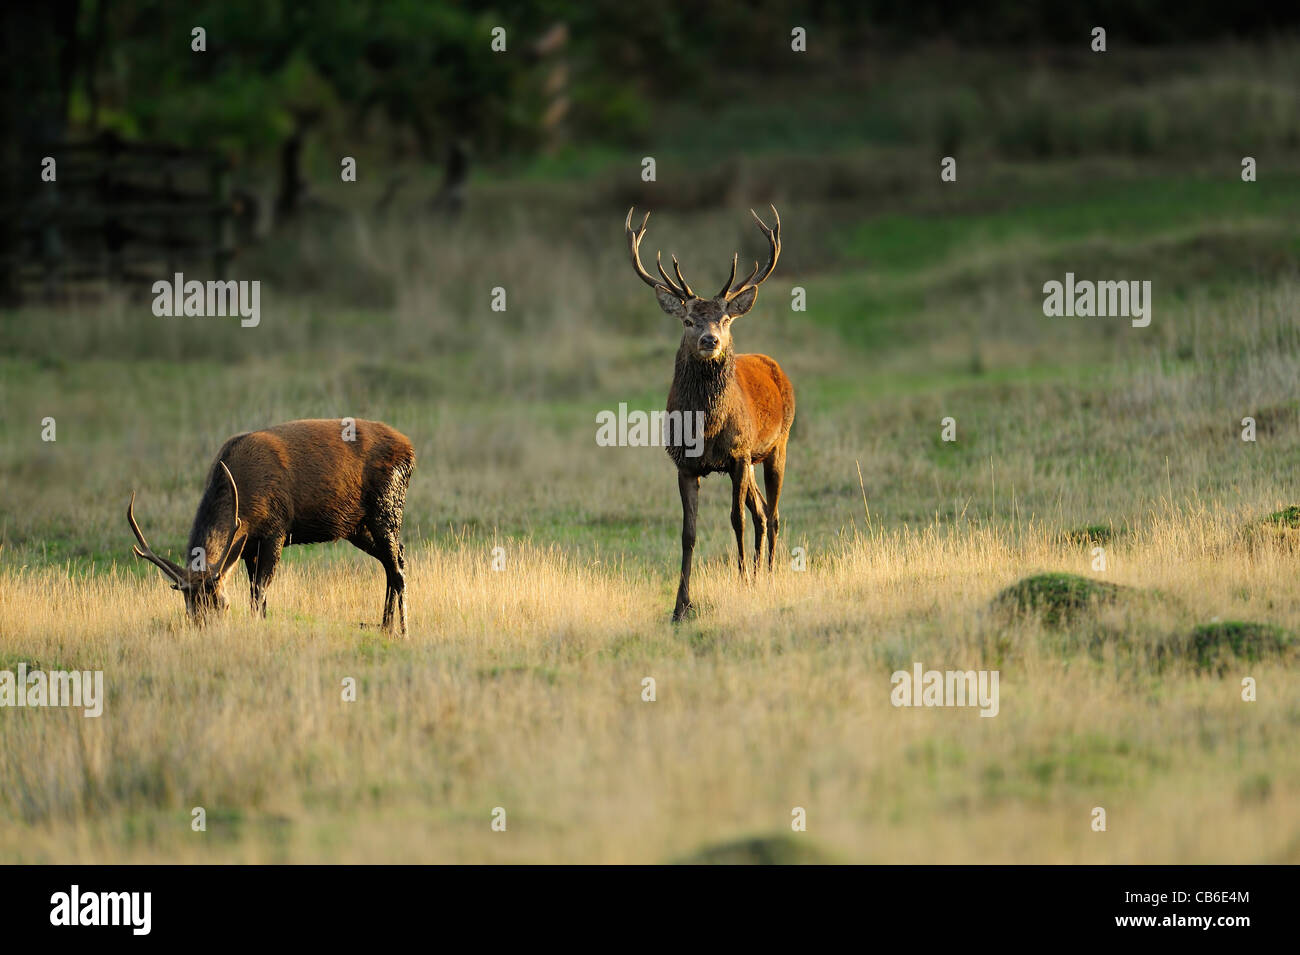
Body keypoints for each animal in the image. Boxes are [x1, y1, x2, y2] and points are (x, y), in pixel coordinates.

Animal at [127, 418, 415, 636]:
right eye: (189, 611)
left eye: (224, 605)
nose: (208, 633)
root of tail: (410, 449)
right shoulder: (246, 545)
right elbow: (256, 591)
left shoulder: (275, 528)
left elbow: (259, 591)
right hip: (357, 526)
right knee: (395, 558)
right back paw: (385, 626)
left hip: (387, 505)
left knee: (397, 569)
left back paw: (402, 630)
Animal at [625, 206, 795, 621]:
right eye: (688, 320)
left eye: (726, 319)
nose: (710, 340)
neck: (705, 430)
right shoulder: (684, 464)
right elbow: (688, 533)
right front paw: (680, 606)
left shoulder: (737, 454)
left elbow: (736, 521)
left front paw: (743, 584)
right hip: (753, 461)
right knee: (762, 512)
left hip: (775, 445)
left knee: (773, 514)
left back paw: (767, 579)